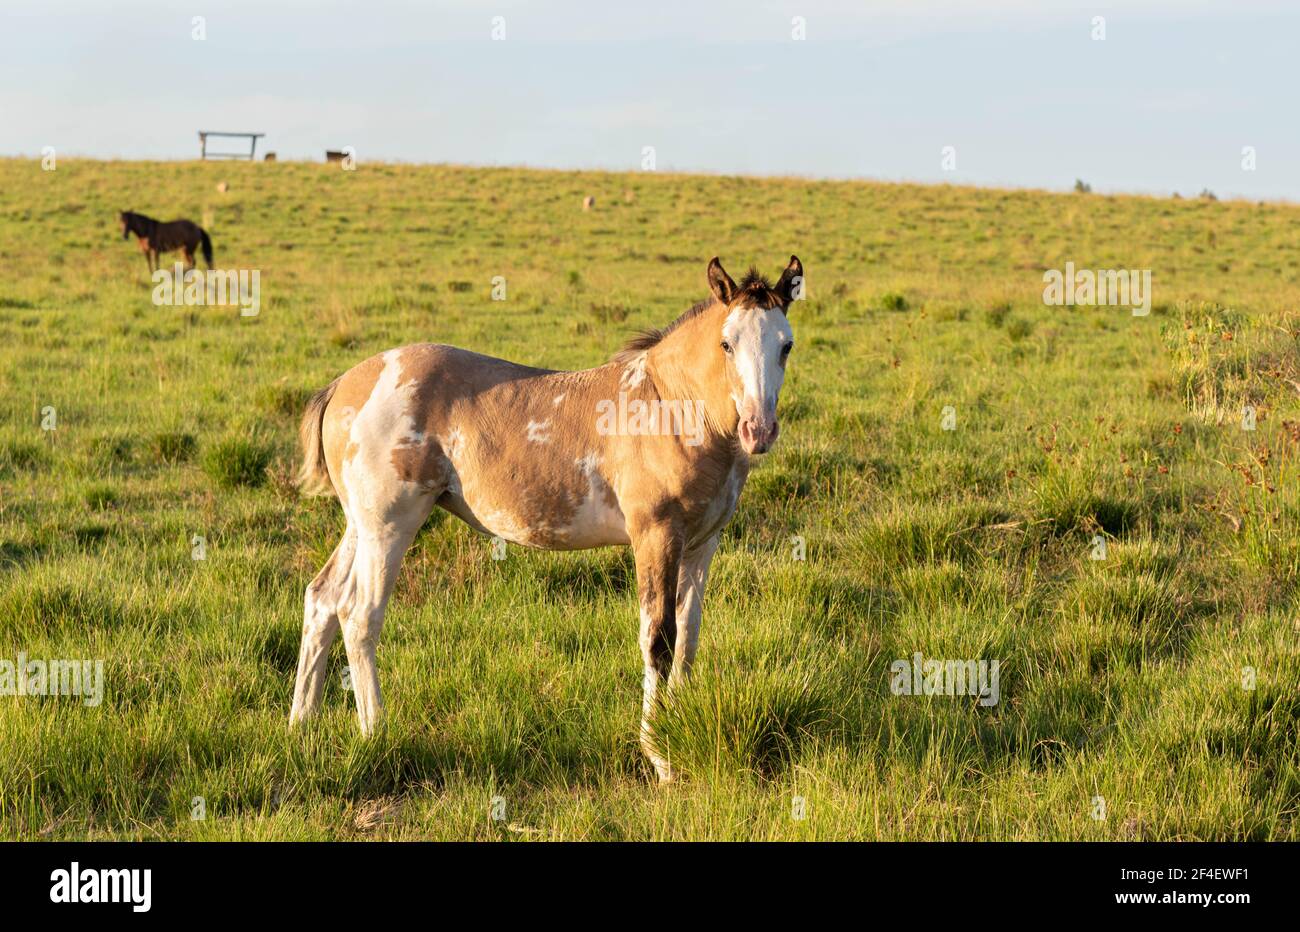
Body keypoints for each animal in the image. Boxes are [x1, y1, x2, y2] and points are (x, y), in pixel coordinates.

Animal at [289, 255, 802, 782]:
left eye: (786, 344)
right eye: (727, 343)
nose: (759, 430)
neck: (670, 406)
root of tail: (344, 385)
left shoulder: (702, 544)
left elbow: (688, 637)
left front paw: (677, 734)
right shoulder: (655, 536)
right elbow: (658, 638)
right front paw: (659, 755)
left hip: (361, 525)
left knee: (322, 599)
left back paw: (301, 724)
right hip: (390, 526)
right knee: (360, 615)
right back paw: (375, 732)